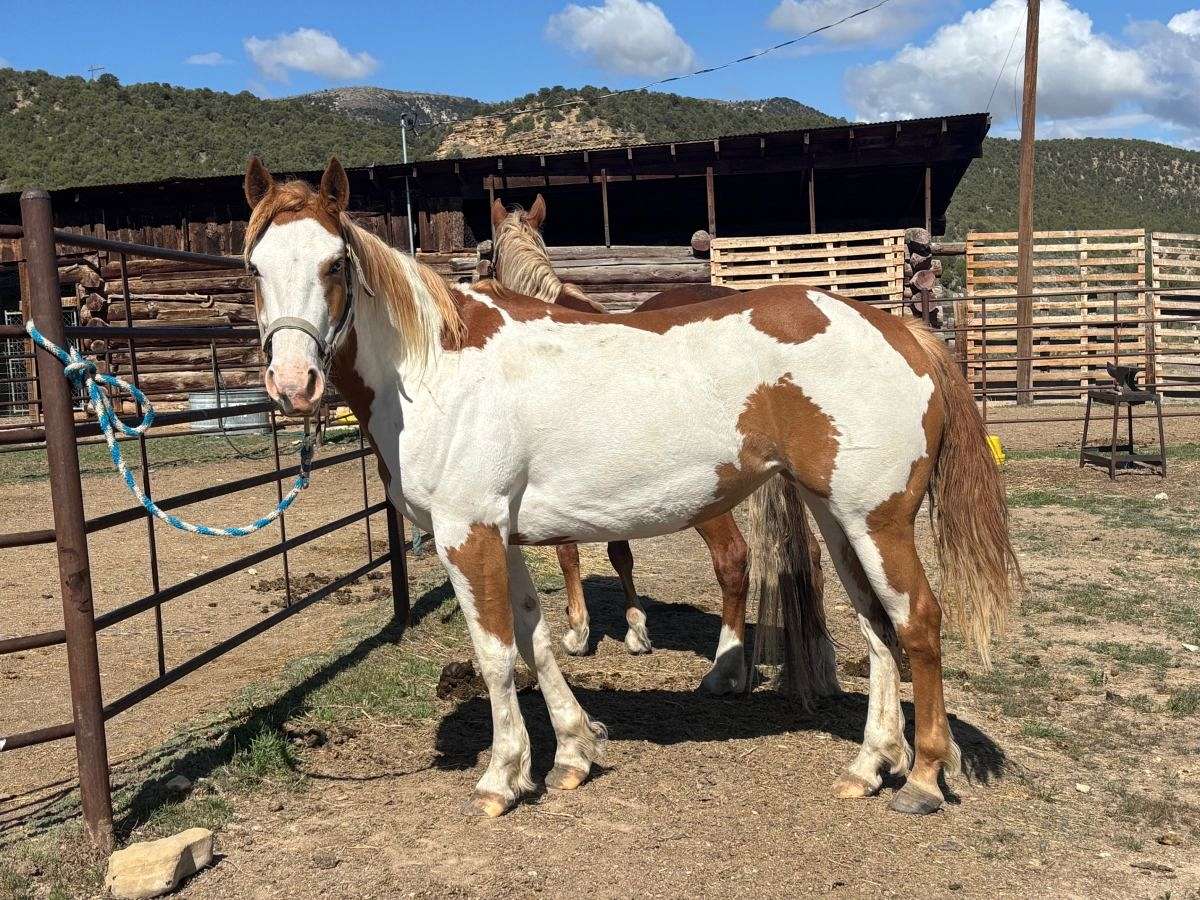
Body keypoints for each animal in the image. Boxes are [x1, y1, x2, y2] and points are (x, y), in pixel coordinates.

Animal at [486, 194, 832, 697]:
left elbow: (571, 552)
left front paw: (579, 631)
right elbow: (619, 553)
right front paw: (635, 629)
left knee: (734, 559)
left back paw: (723, 672)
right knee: (810, 557)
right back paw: (822, 659)